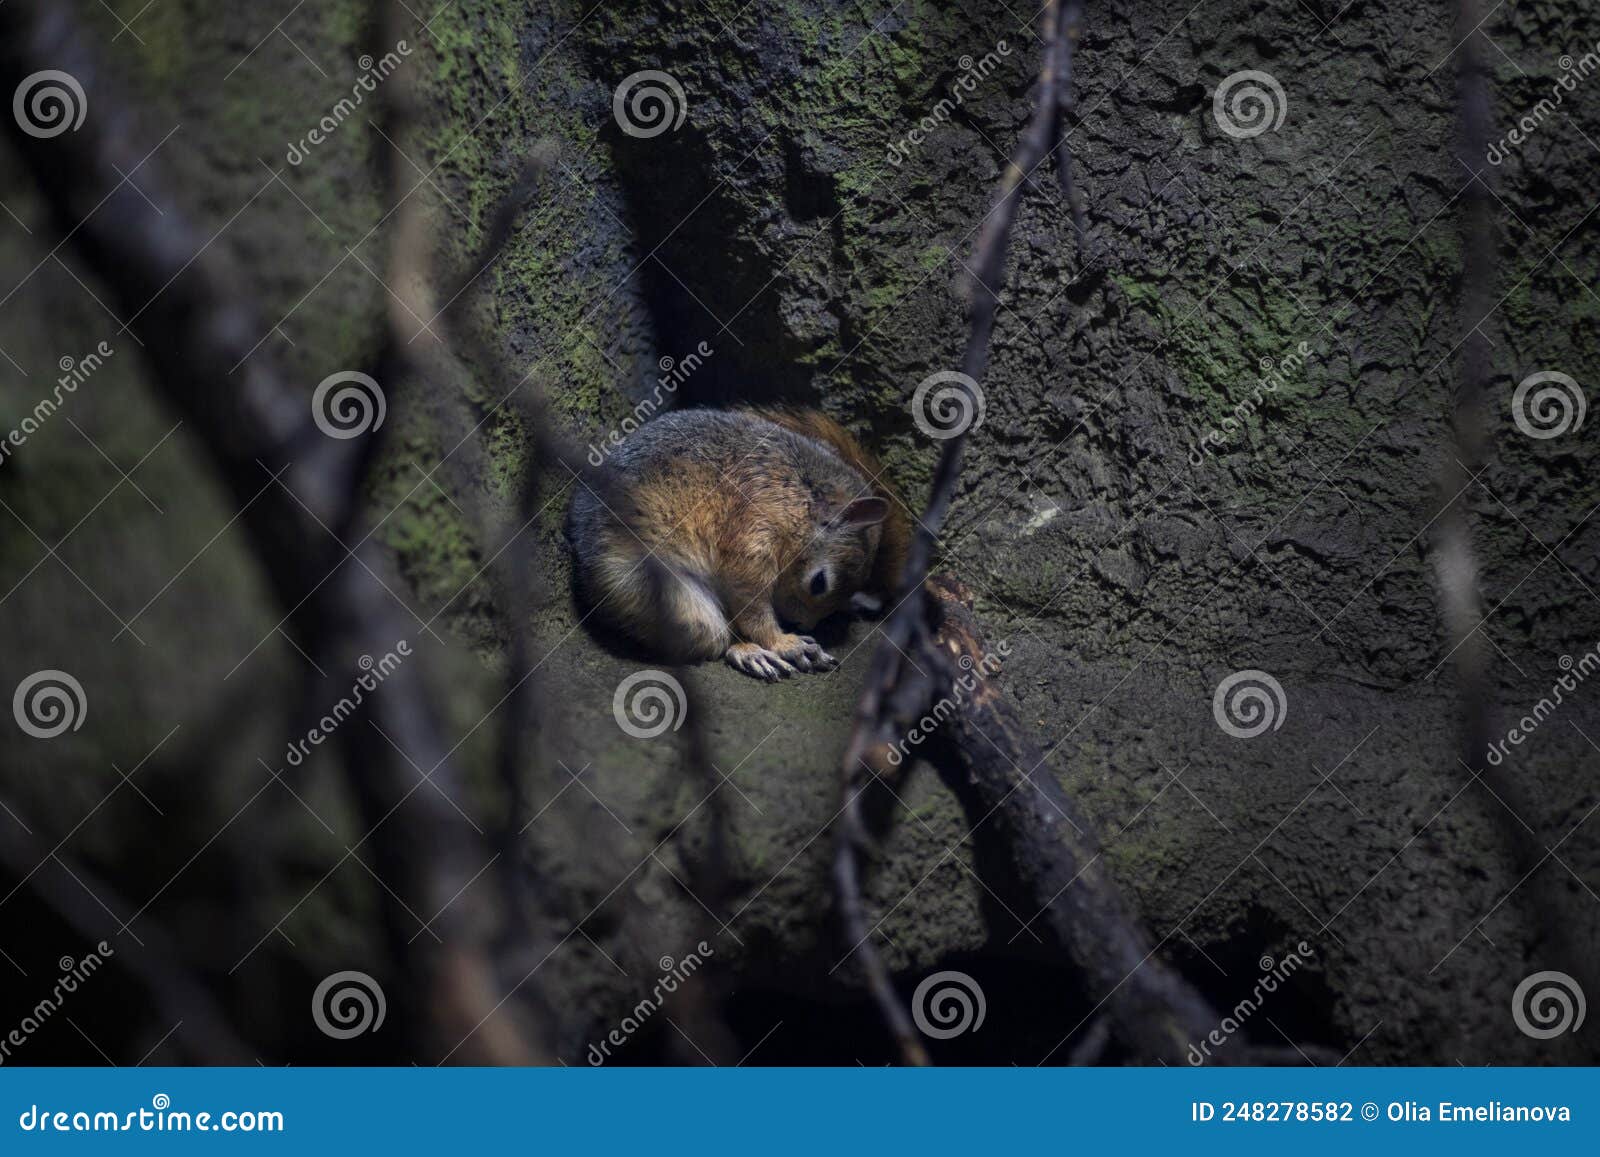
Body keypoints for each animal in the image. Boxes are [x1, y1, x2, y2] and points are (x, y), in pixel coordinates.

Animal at [566, 407, 909, 681]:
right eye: (819, 583)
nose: (800, 623)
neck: (795, 489)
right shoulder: (752, 533)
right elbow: (752, 606)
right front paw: (786, 642)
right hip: (675, 601)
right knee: (717, 639)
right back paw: (751, 653)